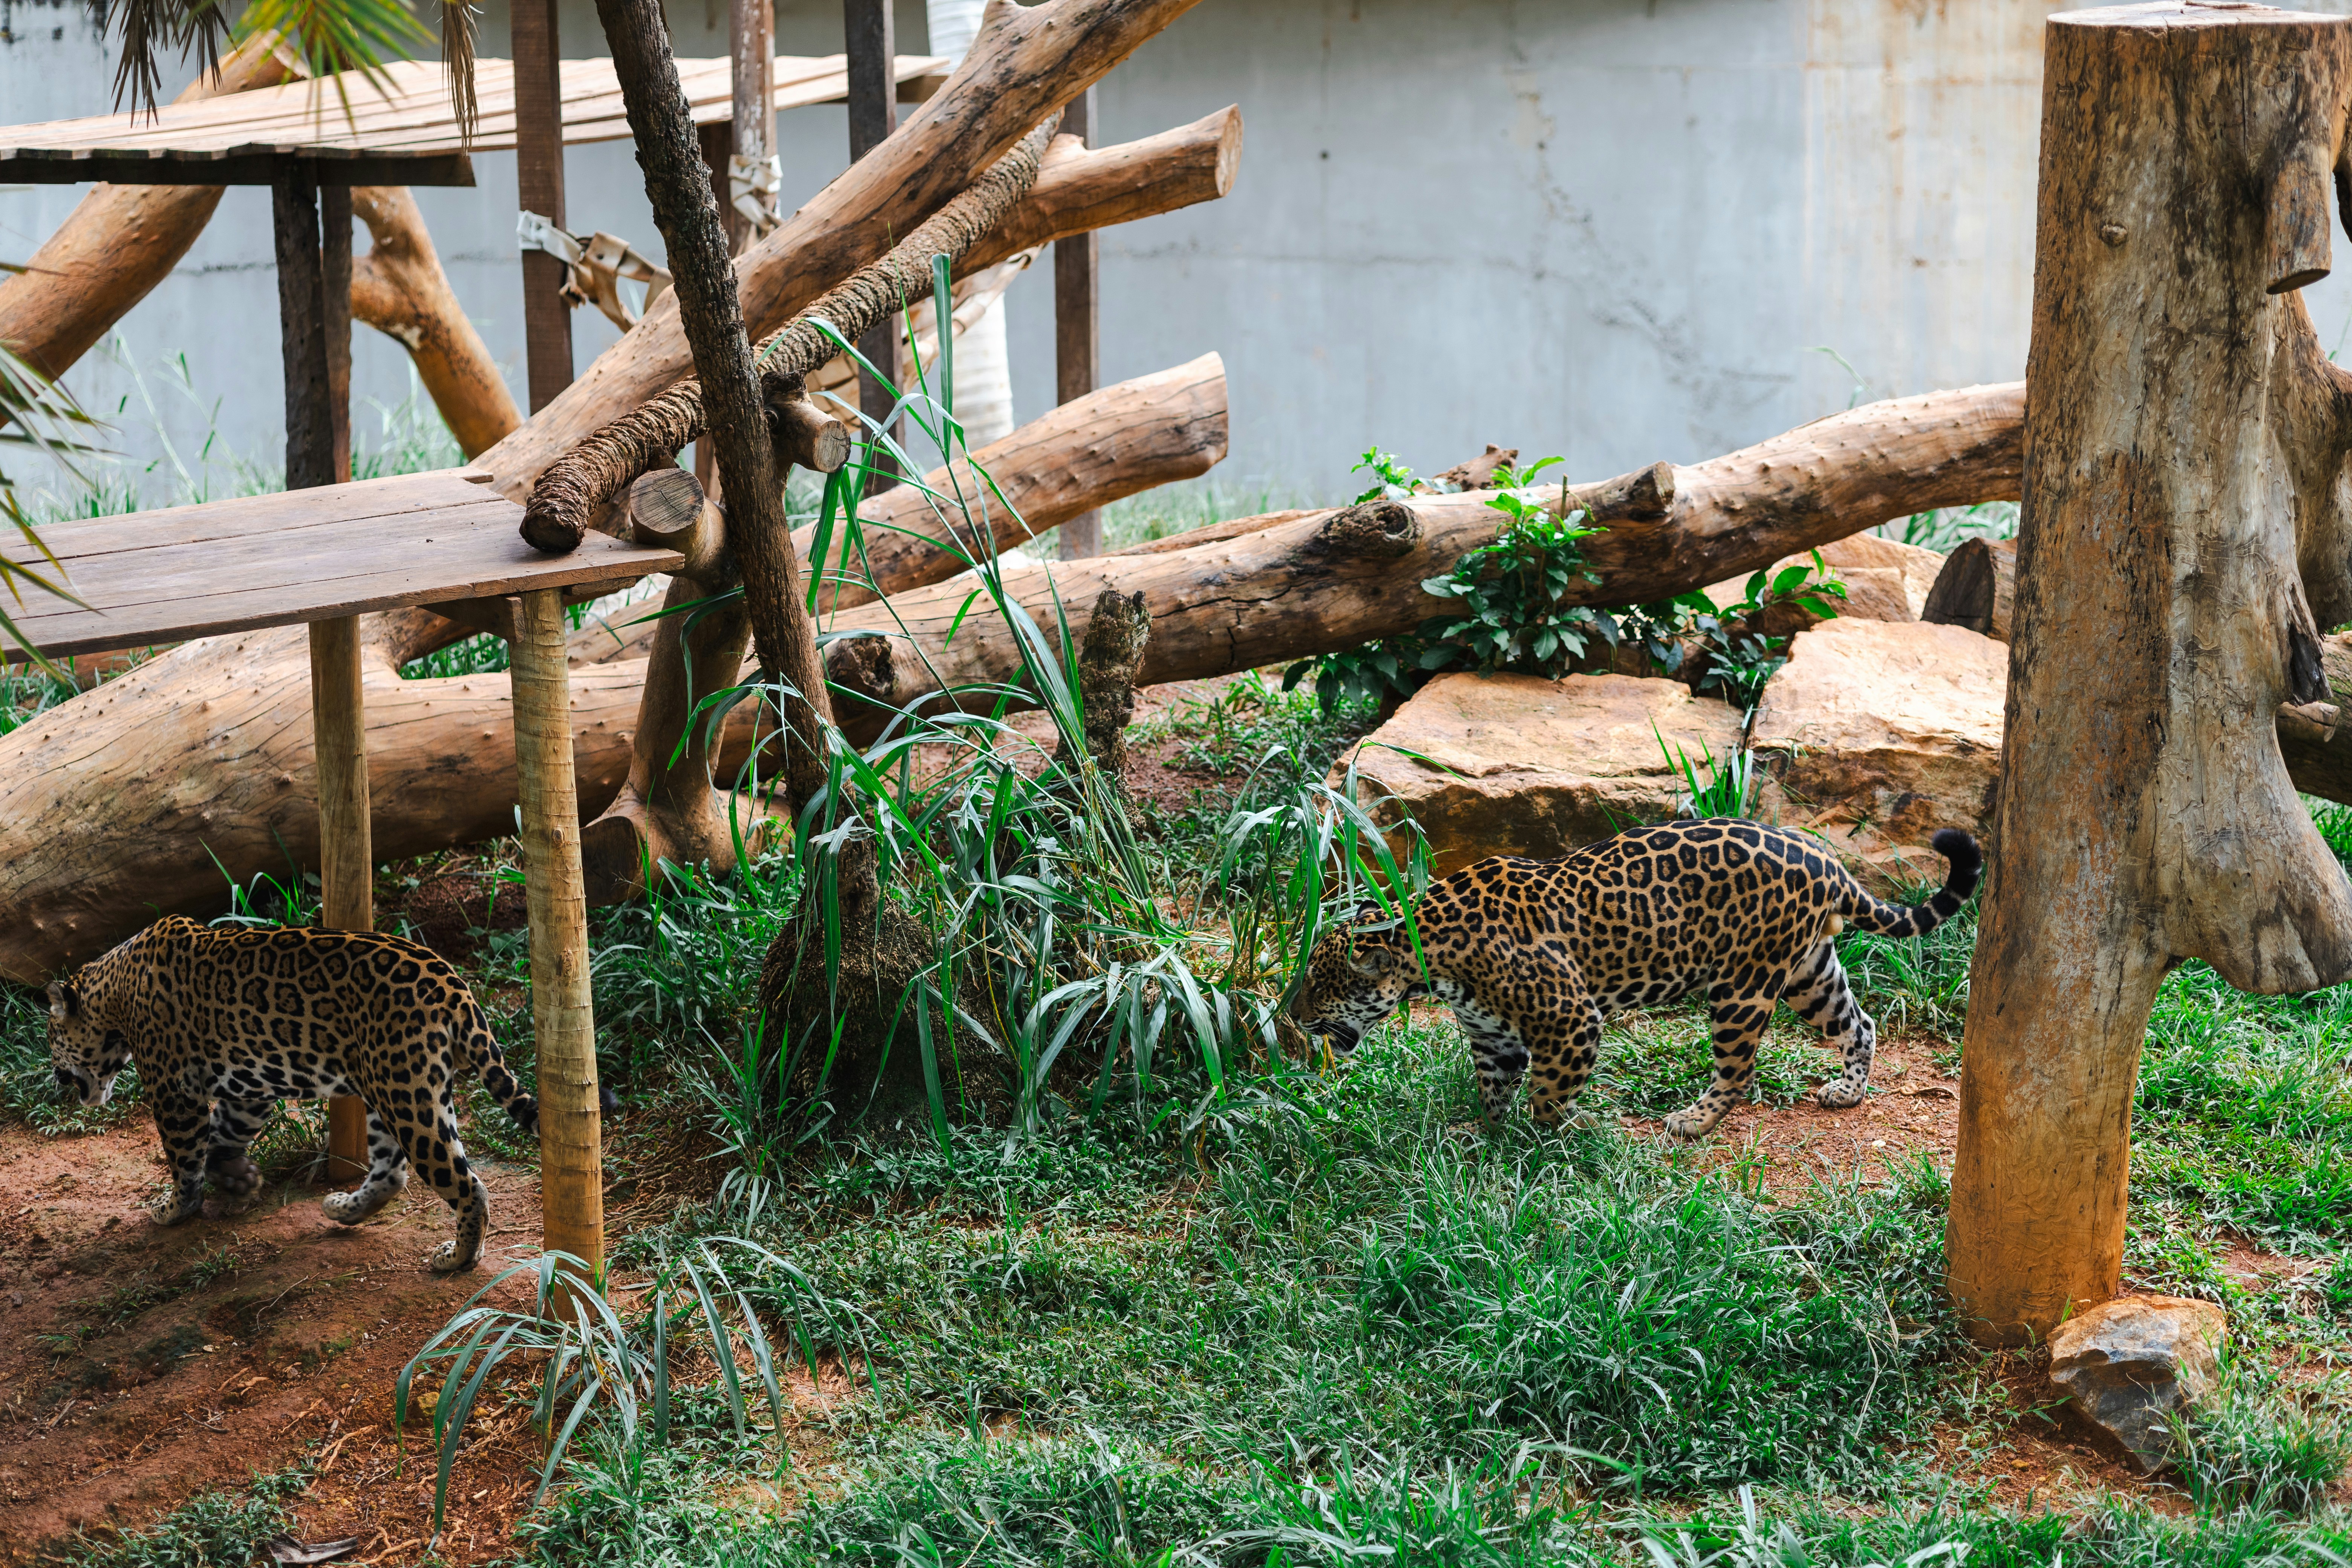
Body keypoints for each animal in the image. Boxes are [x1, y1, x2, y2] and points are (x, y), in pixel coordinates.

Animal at [45, 915, 540, 1273]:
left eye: (50, 1034)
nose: (55, 1076)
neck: (114, 992)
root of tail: (454, 986)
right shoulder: (248, 1086)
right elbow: (225, 1134)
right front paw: (240, 1179)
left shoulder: (173, 1093)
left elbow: (185, 1157)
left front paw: (174, 1207)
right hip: (395, 1087)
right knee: (392, 1172)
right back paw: (345, 1208)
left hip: (406, 1093)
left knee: (467, 1184)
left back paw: (458, 1257)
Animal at [1287, 818, 1981, 1138]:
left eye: (1322, 986)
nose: (1293, 1019)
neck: (1432, 954)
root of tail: (1826, 859)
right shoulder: (1492, 1037)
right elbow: (1493, 1091)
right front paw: (1483, 1134)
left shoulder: (1570, 1020)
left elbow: (1548, 1093)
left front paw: (1560, 1135)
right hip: (1810, 970)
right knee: (1859, 1023)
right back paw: (1849, 1091)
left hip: (1743, 986)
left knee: (1738, 1071)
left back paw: (1694, 1121)